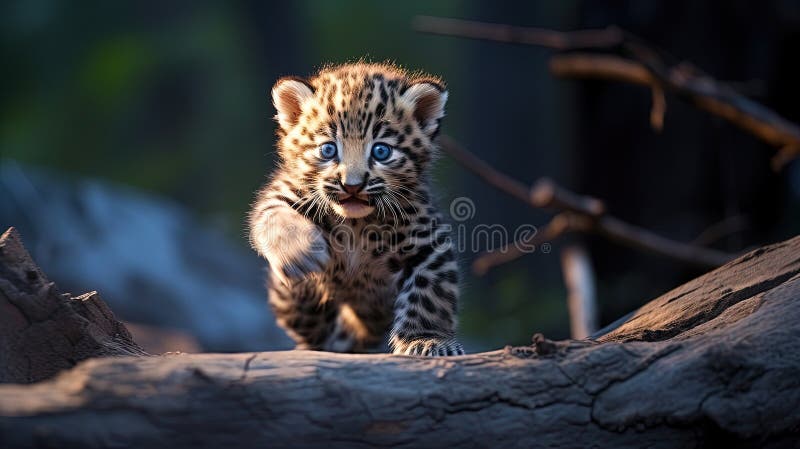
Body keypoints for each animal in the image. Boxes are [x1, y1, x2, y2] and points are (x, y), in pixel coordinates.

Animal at [248, 62, 464, 356]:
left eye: (381, 151)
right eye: (328, 149)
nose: (352, 185)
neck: (356, 224)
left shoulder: (428, 243)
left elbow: (430, 294)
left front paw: (427, 340)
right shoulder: (284, 192)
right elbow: (272, 215)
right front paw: (302, 252)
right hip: (288, 297)